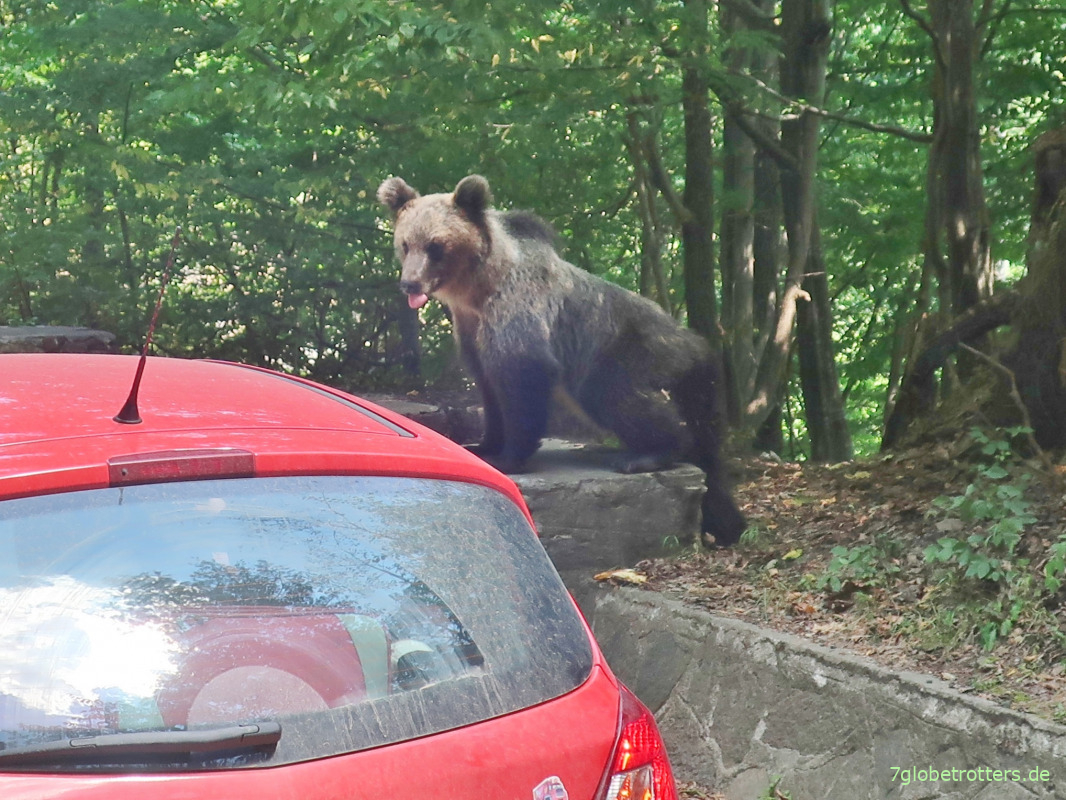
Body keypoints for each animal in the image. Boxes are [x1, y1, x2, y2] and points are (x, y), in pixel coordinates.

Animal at [377, 174, 746, 546]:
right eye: (405, 244)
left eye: (435, 246)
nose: (410, 283)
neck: (477, 289)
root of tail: (698, 348)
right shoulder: (471, 330)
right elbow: (489, 388)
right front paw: (483, 445)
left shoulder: (518, 310)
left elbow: (524, 375)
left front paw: (509, 457)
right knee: (707, 452)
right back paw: (726, 520)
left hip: (631, 352)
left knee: (615, 395)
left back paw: (647, 455)